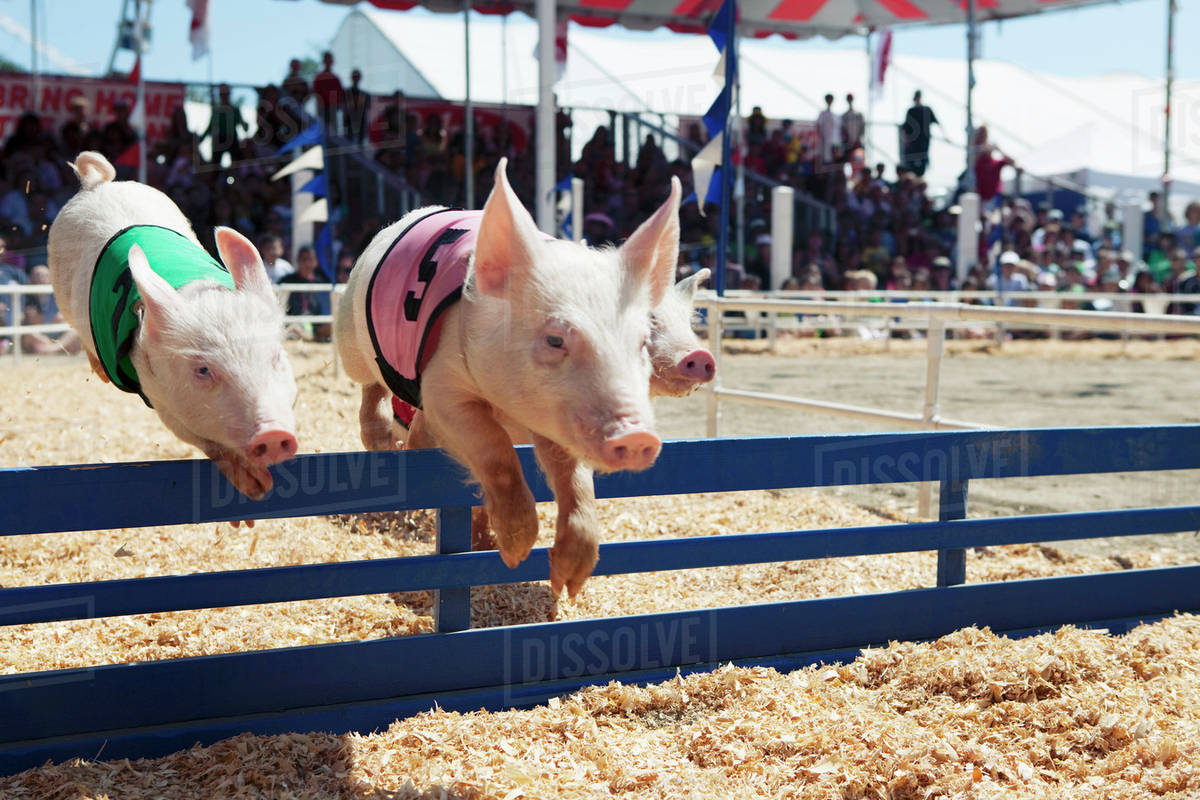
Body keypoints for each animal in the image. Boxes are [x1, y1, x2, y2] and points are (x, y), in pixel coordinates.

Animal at [47, 152, 298, 500]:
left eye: (276, 358)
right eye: (203, 370)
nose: (272, 434)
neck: (197, 291)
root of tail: (96, 184)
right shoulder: (162, 400)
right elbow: (201, 440)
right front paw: (257, 488)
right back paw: (101, 373)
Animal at [336, 158, 679, 595]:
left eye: (642, 342)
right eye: (555, 339)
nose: (637, 435)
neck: (513, 413)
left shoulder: (556, 423)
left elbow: (574, 474)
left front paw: (567, 581)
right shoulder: (444, 383)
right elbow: (491, 446)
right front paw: (515, 552)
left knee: (418, 431)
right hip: (352, 336)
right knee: (372, 386)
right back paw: (385, 446)